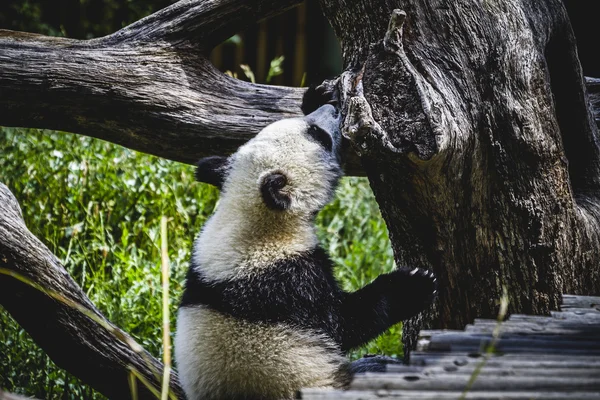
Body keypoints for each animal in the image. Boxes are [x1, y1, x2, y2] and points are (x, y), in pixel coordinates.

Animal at [173, 104, 436, 400]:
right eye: (318, 134)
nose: (333, 108)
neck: (248, 217)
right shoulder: (287, 281)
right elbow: (344, 324)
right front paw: (412, 285)